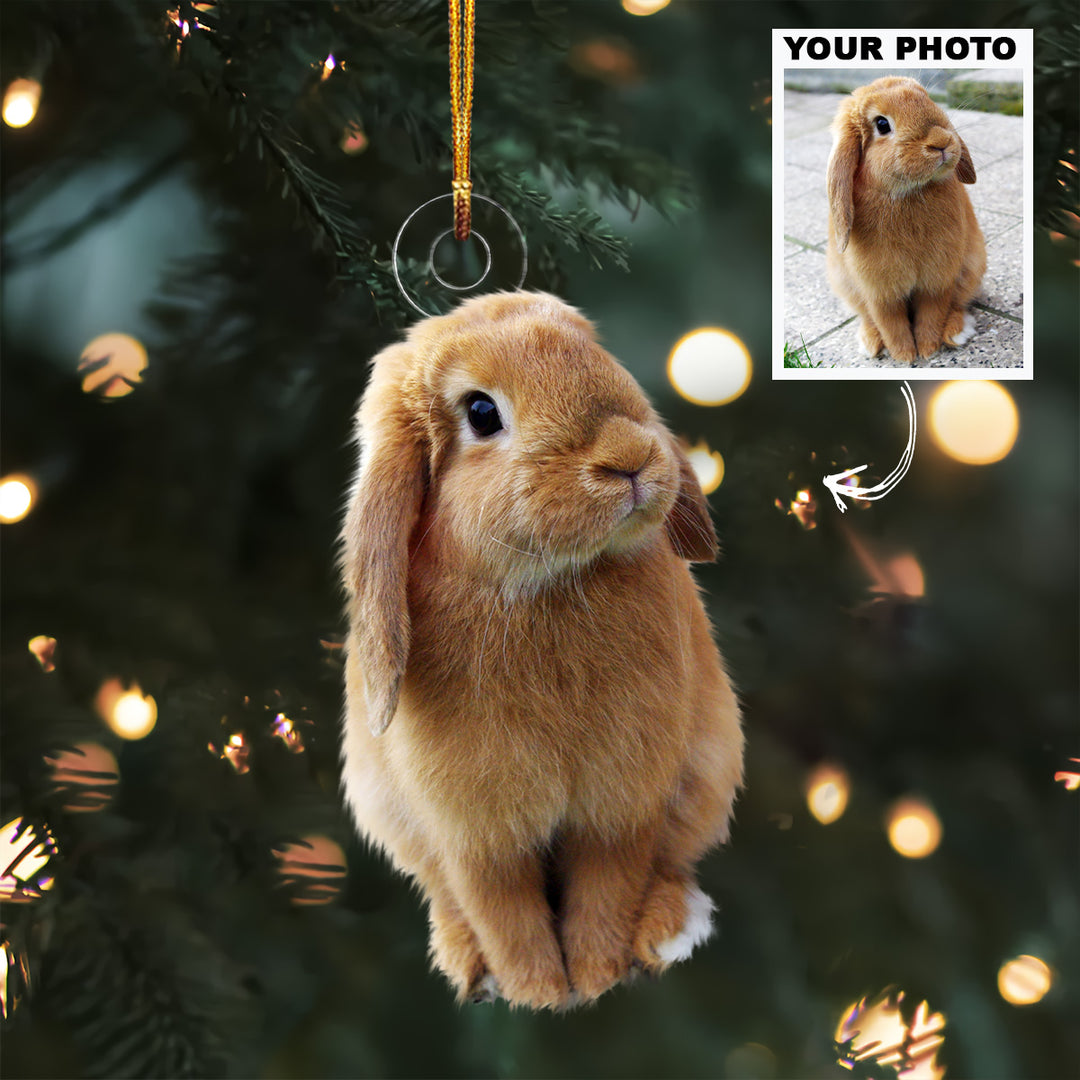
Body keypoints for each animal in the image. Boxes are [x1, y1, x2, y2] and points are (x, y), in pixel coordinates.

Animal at [339, 291, 743, 1010]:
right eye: (480, 412)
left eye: (595, 354)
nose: (629, 458)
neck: (551, 585)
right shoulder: (478, 835)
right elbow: (504, 912)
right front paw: (541, 992)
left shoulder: (620, 807)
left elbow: (606, 892)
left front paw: (597, 976)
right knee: (450, 901)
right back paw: (467, 963)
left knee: (669, 870)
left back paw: (664, 935)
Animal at [825, 76, 986, 364]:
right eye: (881, 124)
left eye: (928, 99)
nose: (941, 141)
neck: (910, 193)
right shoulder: (880, 292)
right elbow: (890, 322)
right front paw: (904, 355)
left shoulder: (938, 280)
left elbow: (932, 313)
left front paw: (928, 350)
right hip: (845, 285)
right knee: (868, 318)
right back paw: (870, 343)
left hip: (972, 268)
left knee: (957, 305)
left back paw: (956, 332)